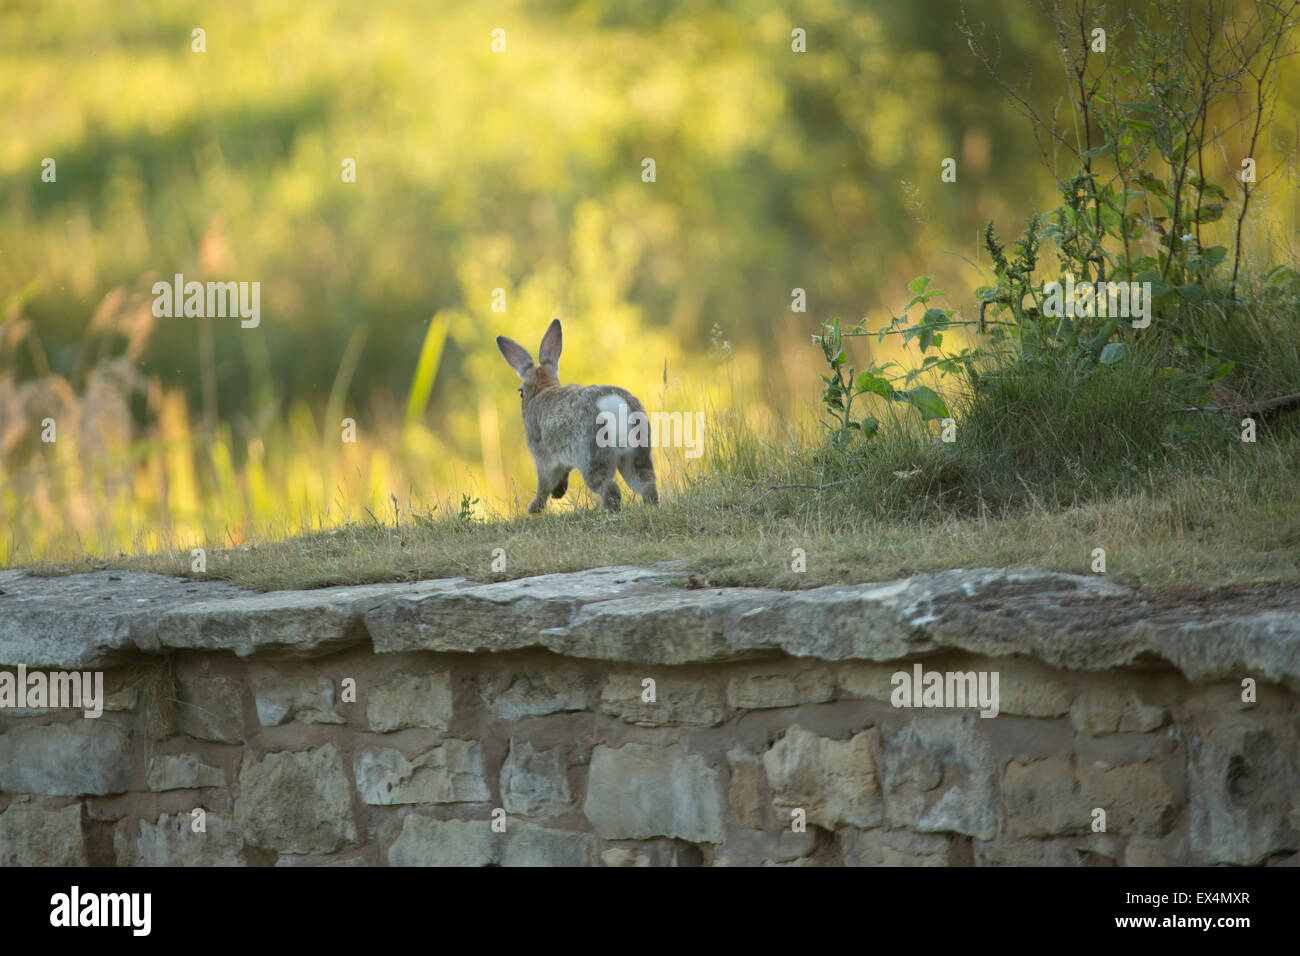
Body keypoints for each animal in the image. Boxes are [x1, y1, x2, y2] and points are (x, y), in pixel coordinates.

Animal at [496, 319, 658, 514]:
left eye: (520, 392)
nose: (521, 395)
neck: (544, 388)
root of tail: (613, 404)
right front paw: (558, 493)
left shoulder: (542, 458)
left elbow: (544, 483)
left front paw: (534, 507)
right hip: (636, 454)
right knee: (647, 484)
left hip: (592, 457)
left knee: (609, 488)